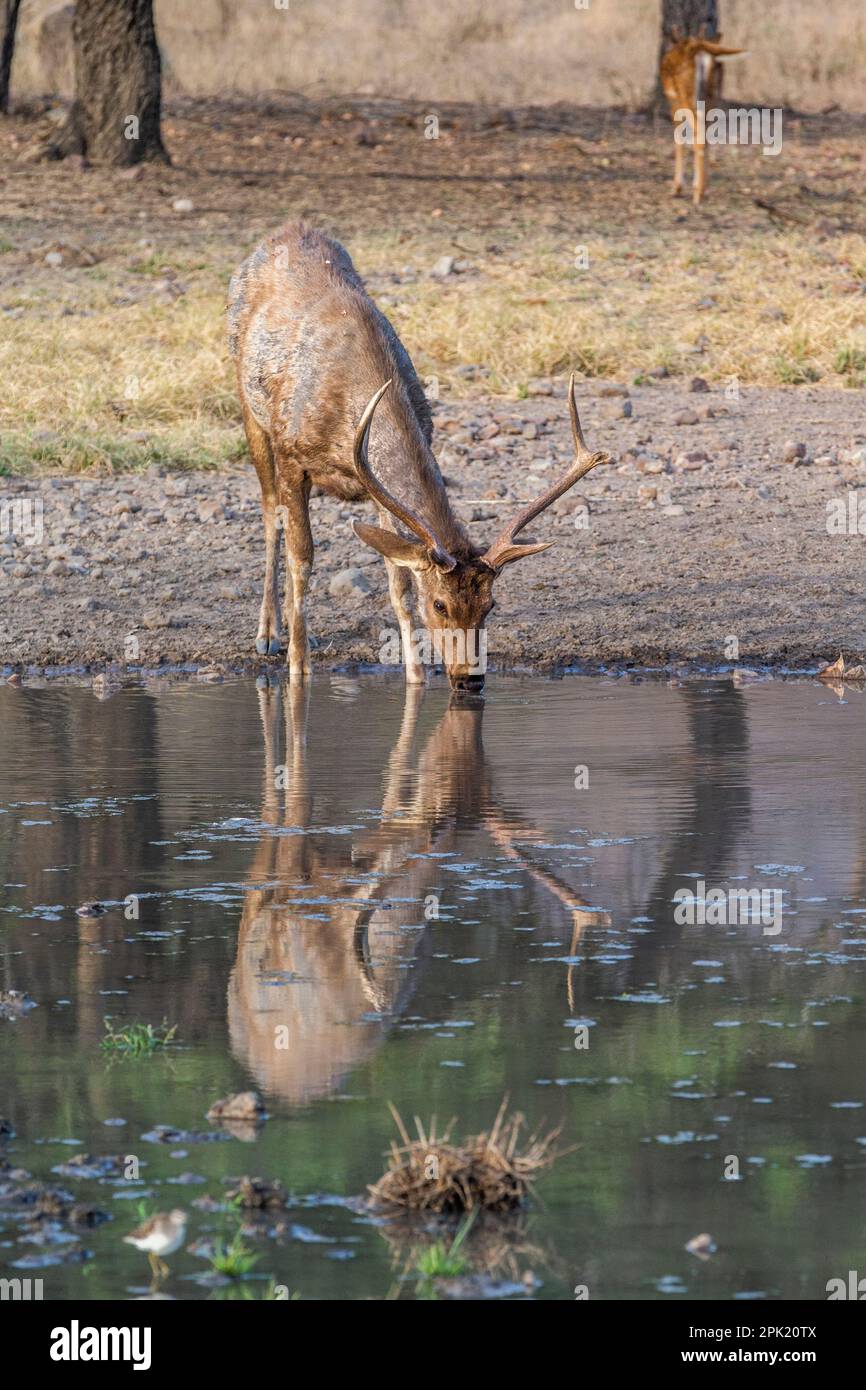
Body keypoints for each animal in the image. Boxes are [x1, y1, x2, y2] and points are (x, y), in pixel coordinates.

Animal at [228, 222, 611, 693]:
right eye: (441, 604)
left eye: (490, 605)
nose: (469, 678)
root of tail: (288, 228)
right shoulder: (292, 457)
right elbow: (302, 558)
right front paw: (299, 668)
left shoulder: (377, 488)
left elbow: (398, 582)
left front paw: (415, 676)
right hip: (250, 409)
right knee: (270, 515)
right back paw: (269, 633)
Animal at [660, 32, 745, 206]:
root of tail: (700, 49)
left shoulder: (674, 102)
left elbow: (679, 140)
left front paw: (677, 188)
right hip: (711, 98)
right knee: (706, 138)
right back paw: (703, 190)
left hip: (687, 98)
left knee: (698, 138)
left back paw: (697, 194)